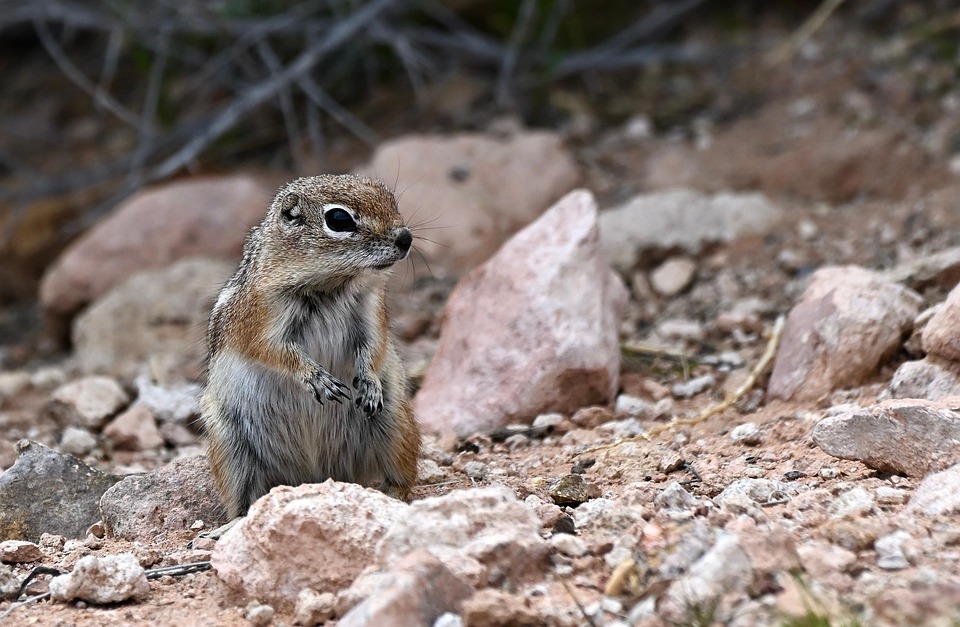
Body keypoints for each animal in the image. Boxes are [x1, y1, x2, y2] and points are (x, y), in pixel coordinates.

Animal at [200, 174, 422, 520]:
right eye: (339, 219)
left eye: (390, 198)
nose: (405, 238)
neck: (331, 283)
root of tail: (316, 475)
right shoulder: (259, 317)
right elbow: (272, 351)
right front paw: (316, 378)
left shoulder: (371, 309)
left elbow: (374, 345)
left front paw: (369, 383)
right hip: (230, 449)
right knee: (242, 500)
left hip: (397, 424)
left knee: (401, 475)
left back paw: (391, 495)